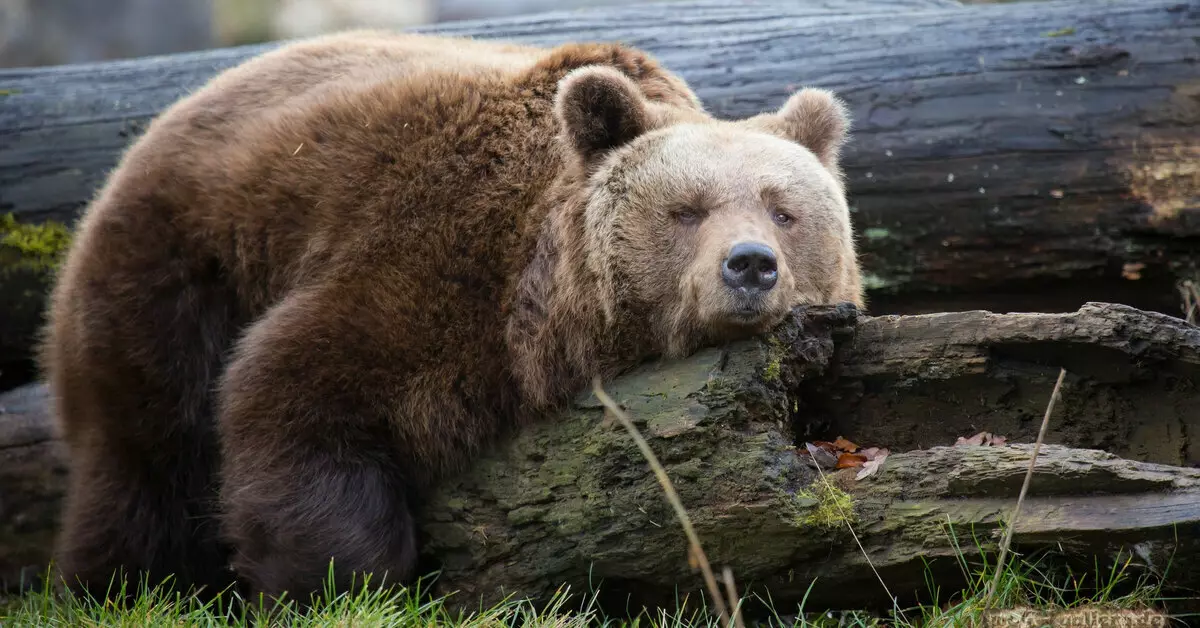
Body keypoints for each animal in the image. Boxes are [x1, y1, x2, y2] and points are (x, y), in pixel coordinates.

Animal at [37, 30, 864, 609]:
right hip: (178, 270)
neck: (546, 310)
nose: (750, 265)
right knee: (146, 455)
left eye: (784, 210)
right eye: (687, 210)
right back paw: (120, 586)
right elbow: (295, 392)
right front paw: (339, 582)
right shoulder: (430, 263)